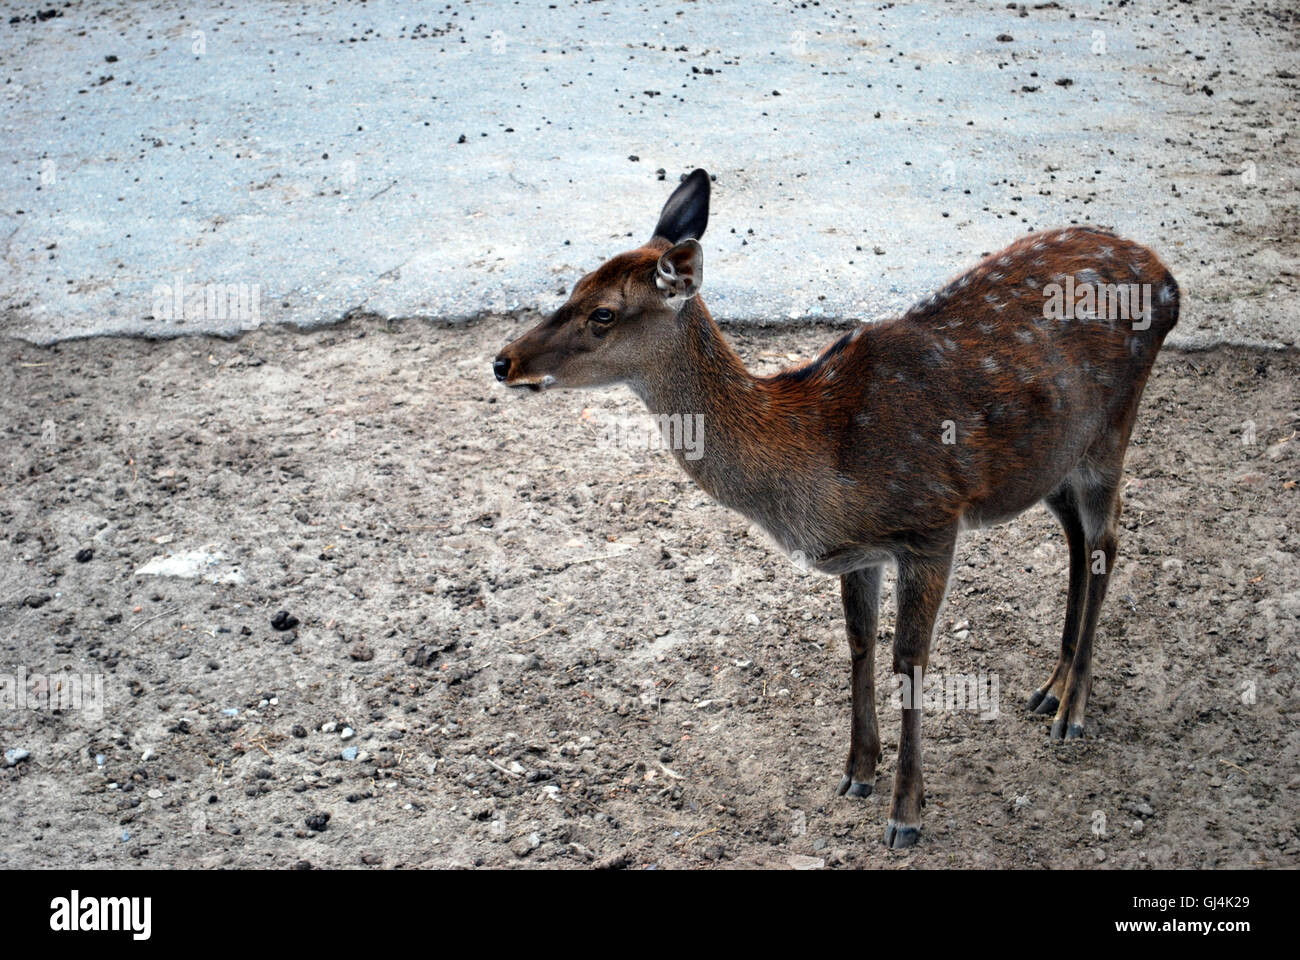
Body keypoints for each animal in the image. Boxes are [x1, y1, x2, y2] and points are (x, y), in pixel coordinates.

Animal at [492, 169, 1179, 848]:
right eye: (574, 285)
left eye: (603, 313)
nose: (504, 361)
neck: (816, 462)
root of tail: (1168, 277)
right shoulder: (859, 550)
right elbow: (858, 643)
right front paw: (856, 773)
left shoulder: (933, 520)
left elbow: (909, 659)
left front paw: (906, 813)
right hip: (1050, 459)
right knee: (1077, 541)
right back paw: (1051, 688)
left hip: (1111, 428)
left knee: (1107, 542)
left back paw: (1073, 712)